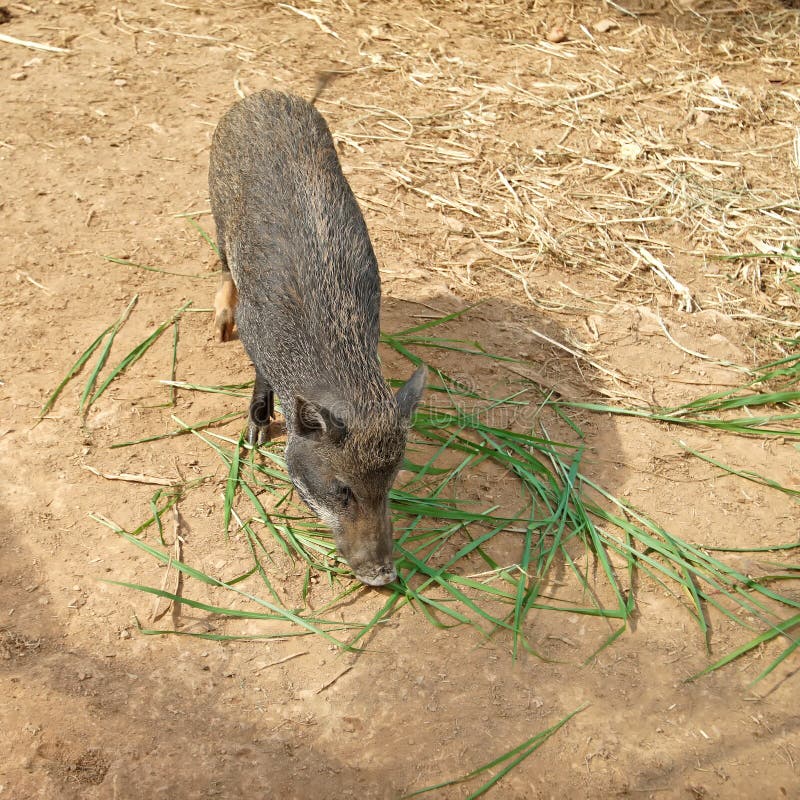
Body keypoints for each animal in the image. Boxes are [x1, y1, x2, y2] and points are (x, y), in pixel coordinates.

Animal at [208, 90, 426, 587]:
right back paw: (220, 325)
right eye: (341, 489)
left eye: (391, 483)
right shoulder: (257, 333)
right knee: (223, 264)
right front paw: (254, 437)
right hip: (215, 208)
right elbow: (259, 378)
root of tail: (263, 94)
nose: (385, 576)